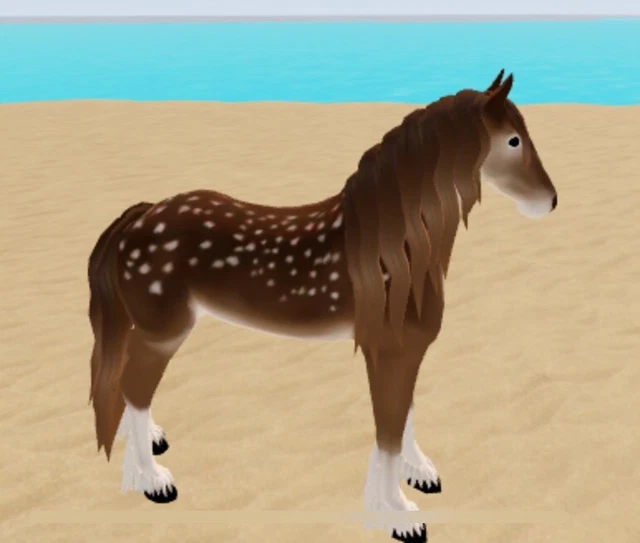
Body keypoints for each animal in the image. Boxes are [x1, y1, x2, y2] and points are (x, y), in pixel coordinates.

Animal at [88, 70, 557, 543]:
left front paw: (419, 471)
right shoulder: (389, 350)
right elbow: (387, 432)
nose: (550, 202)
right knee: (135, 386)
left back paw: (150, 441)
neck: (396, 249)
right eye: (513, 140)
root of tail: (144, 215)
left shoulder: (405, 350)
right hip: (164, 332)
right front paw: (399, 513)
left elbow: (403, 415)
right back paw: (152, 479)